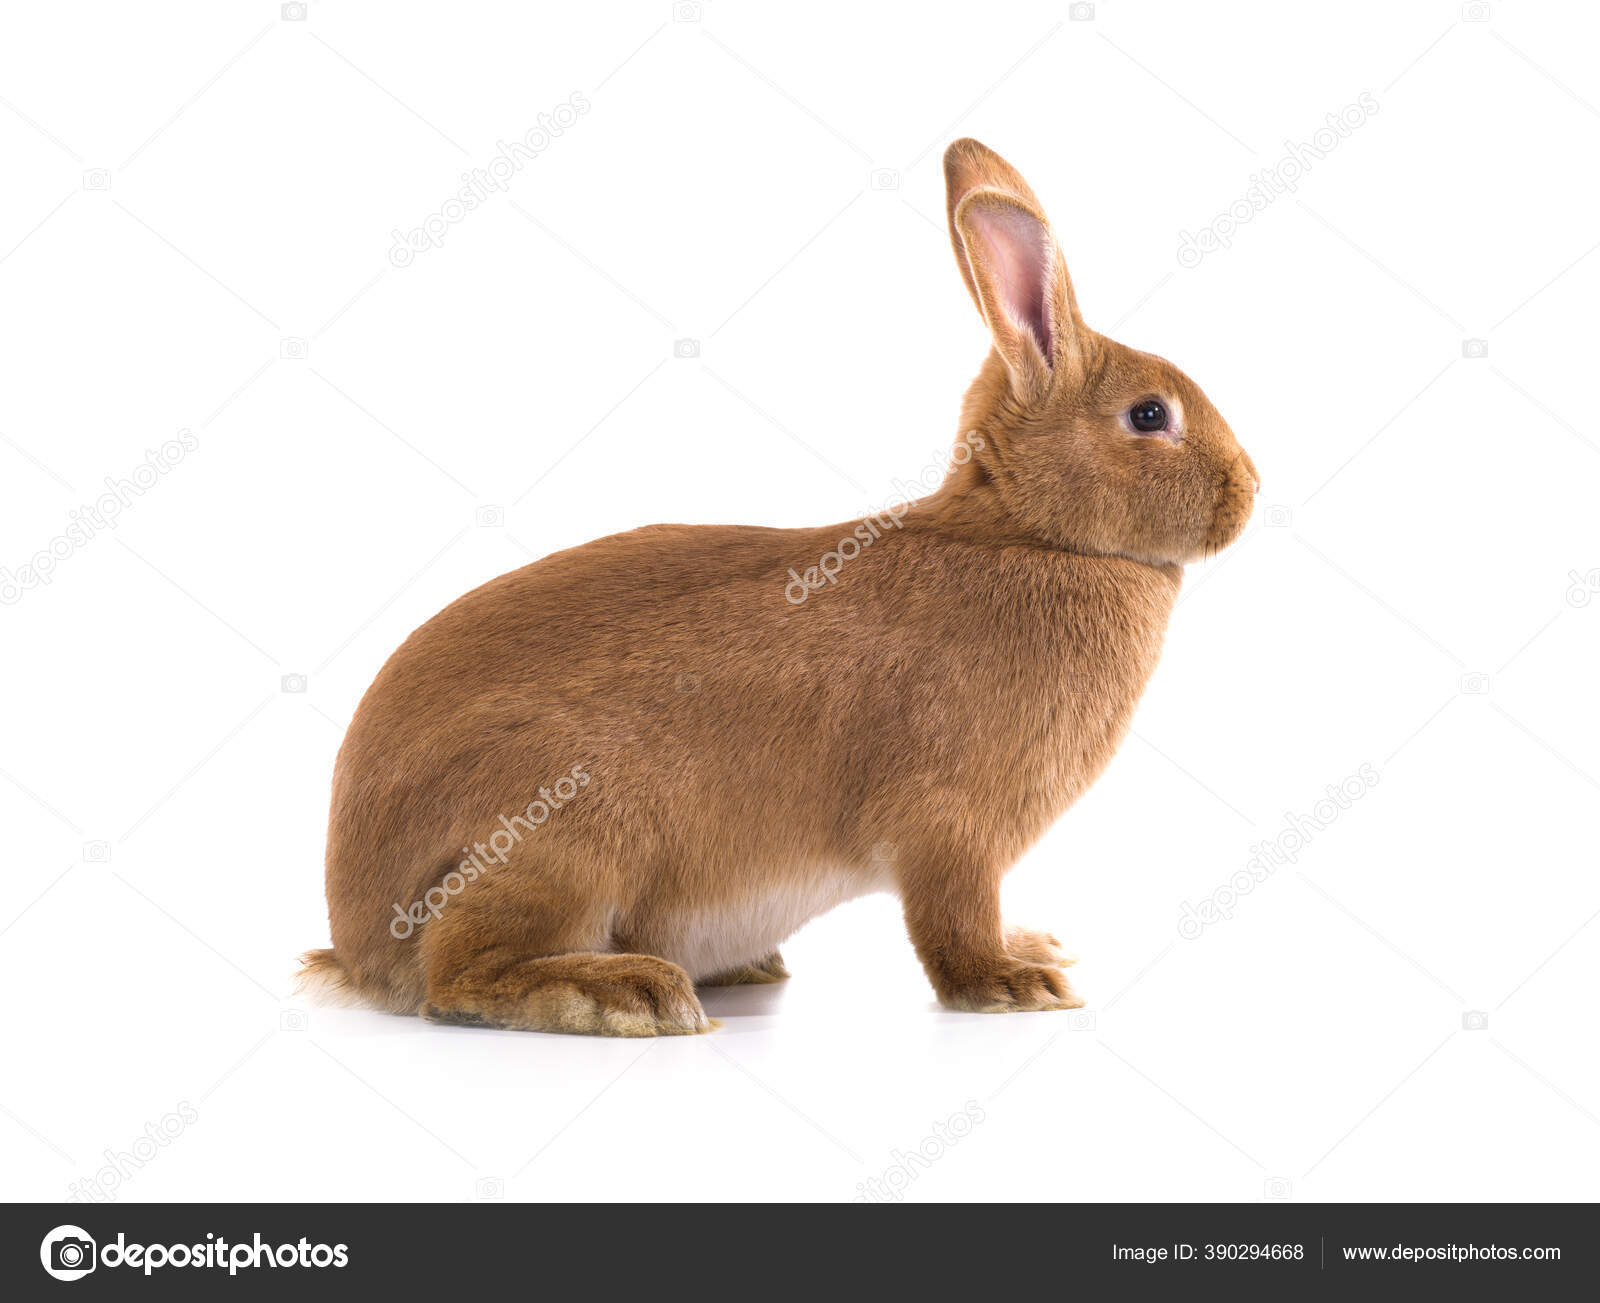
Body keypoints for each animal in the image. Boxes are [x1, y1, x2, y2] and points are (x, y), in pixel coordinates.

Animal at [297, 138, 1258, 1036]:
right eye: (1149, 415)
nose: (1247, 492)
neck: (1026, 534)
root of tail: (358, 940)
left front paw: (1036, 950)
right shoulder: (949, 825)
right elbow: (949, 922)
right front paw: (1014, 983)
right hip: (569, 832)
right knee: (460, 972)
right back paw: (627, 993)